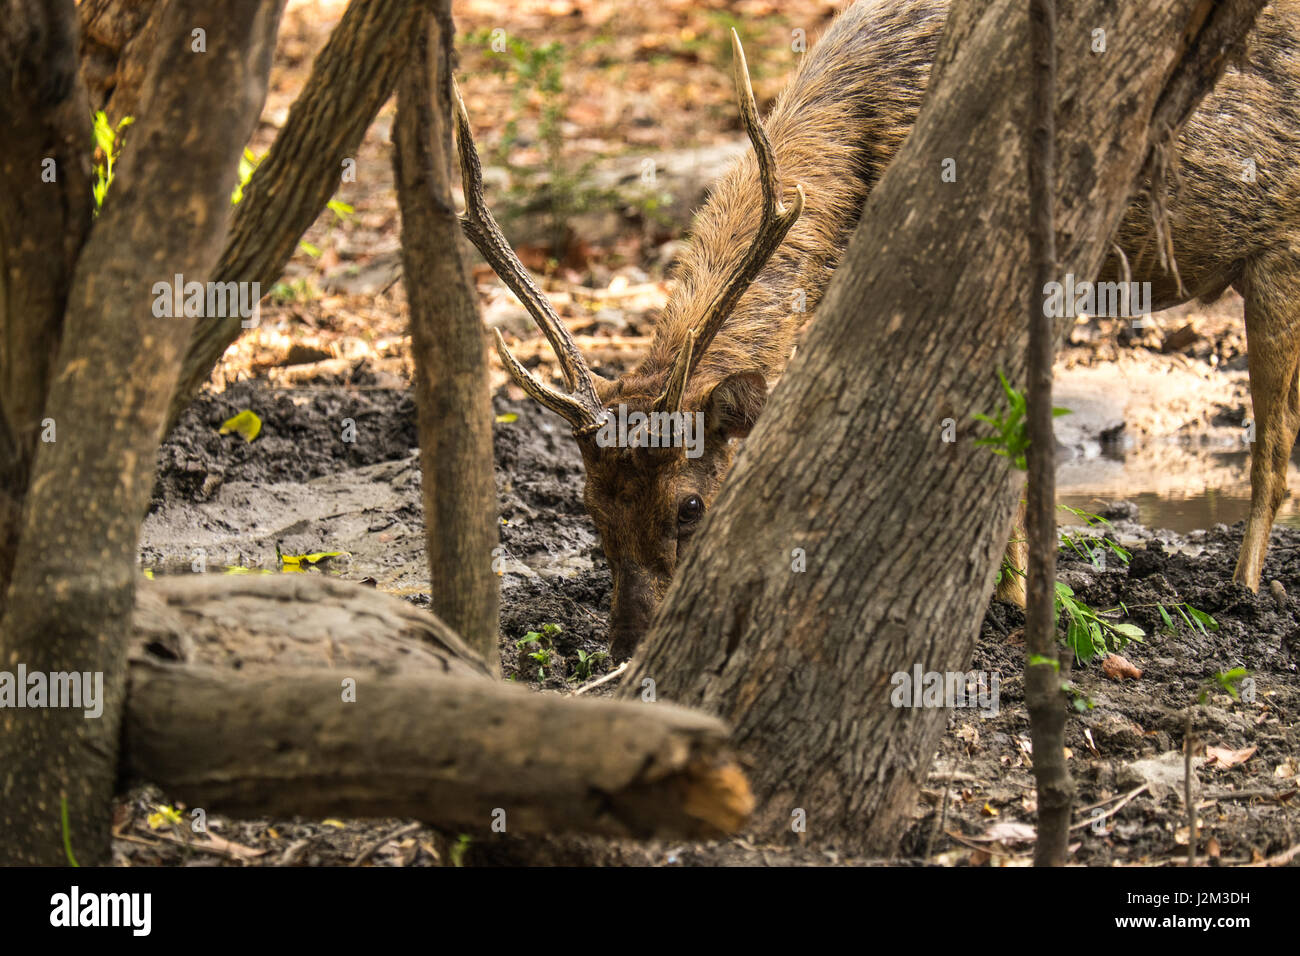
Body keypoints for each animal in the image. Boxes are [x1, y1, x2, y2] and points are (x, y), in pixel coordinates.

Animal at [455, 0, 1300, 660]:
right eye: (589, 507)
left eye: (690, 506)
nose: (629, 648)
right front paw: (1006, 597)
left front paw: (1009, 606)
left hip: (1280, 245)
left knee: (1274, 447)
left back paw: (1242, 593)